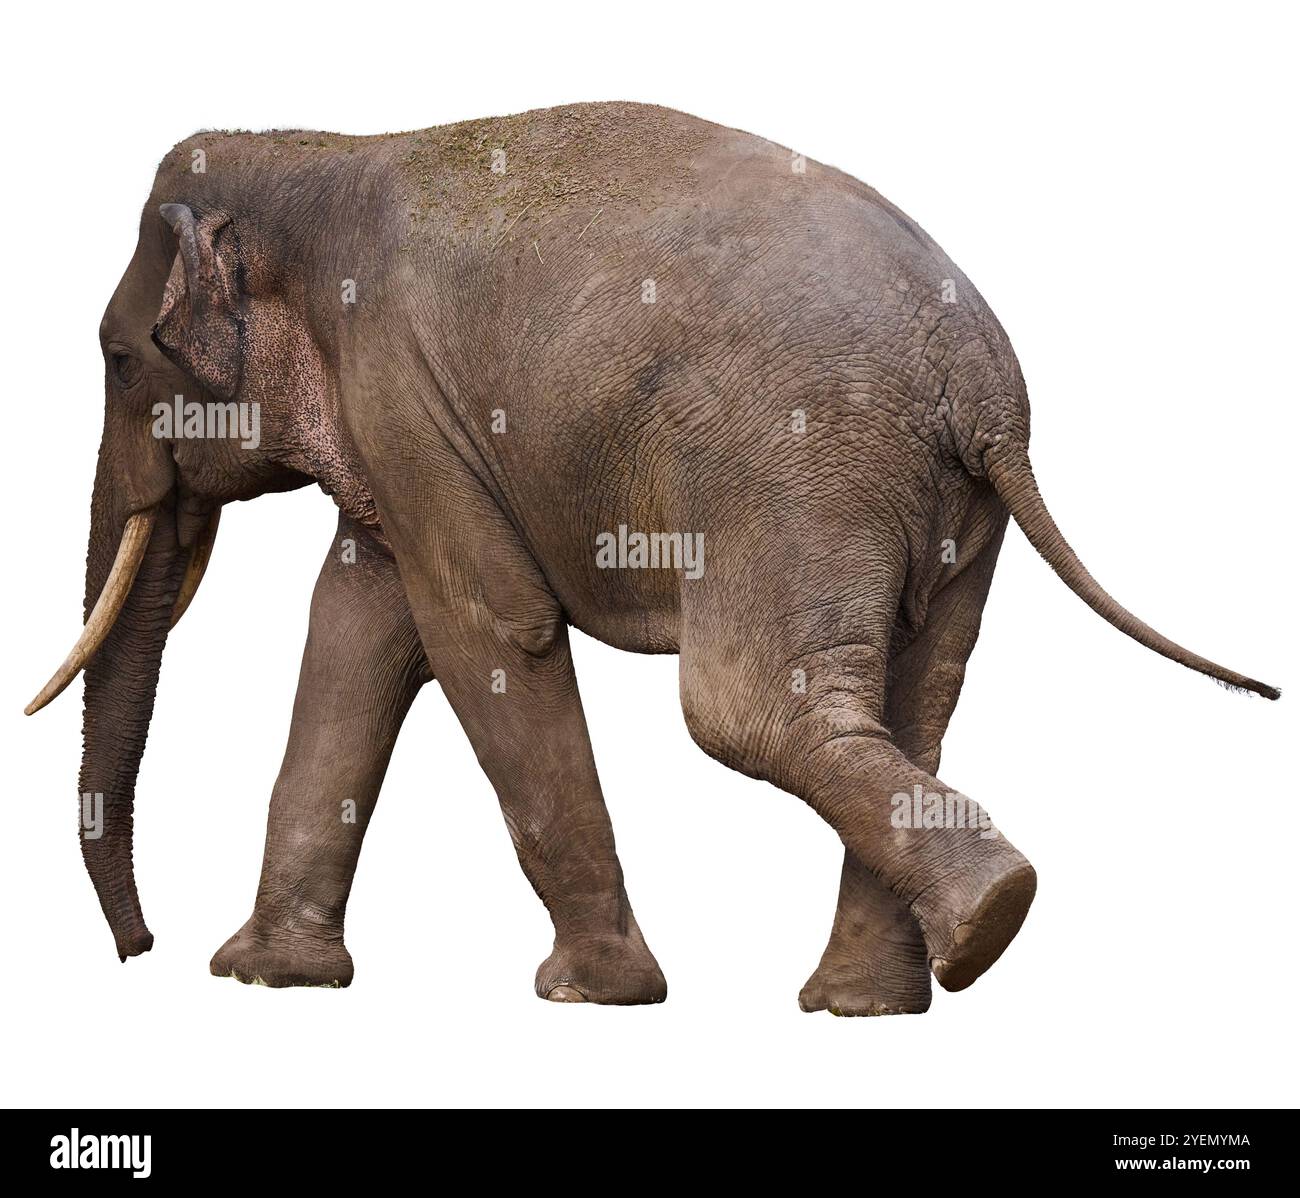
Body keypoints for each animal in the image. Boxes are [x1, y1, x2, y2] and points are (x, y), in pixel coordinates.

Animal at [27, 102, 1277, 1013]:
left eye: (117, 358)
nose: (141, 952)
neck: (314, 155)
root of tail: (981, 387)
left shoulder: (403, 390)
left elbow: (483, 629)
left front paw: (588, 994)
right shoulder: (403, 431)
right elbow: (357, 629)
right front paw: (262, 978)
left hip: (796, 470)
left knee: (747, 709)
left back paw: (977, 926)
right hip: (940, 512)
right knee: (914, 694)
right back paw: (881, 990)